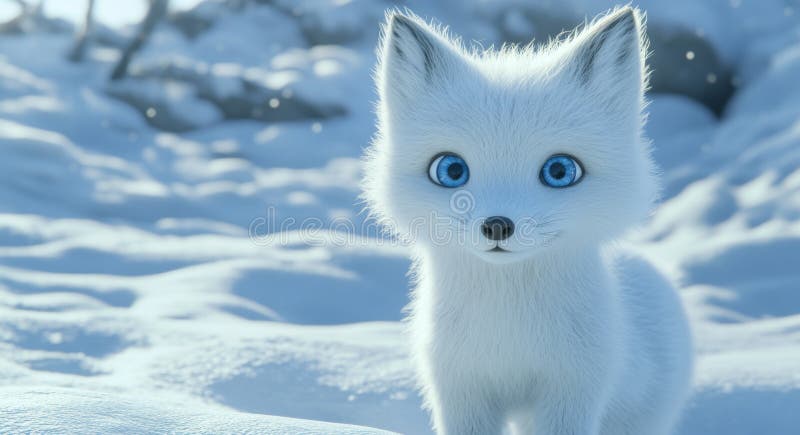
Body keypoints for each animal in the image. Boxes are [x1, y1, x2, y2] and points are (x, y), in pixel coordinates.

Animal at [361, 6, 693, 435]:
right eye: (451, 170)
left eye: (560, 171)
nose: (497, 225)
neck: (510, 334)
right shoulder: (459, 387)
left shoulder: (574, 388)